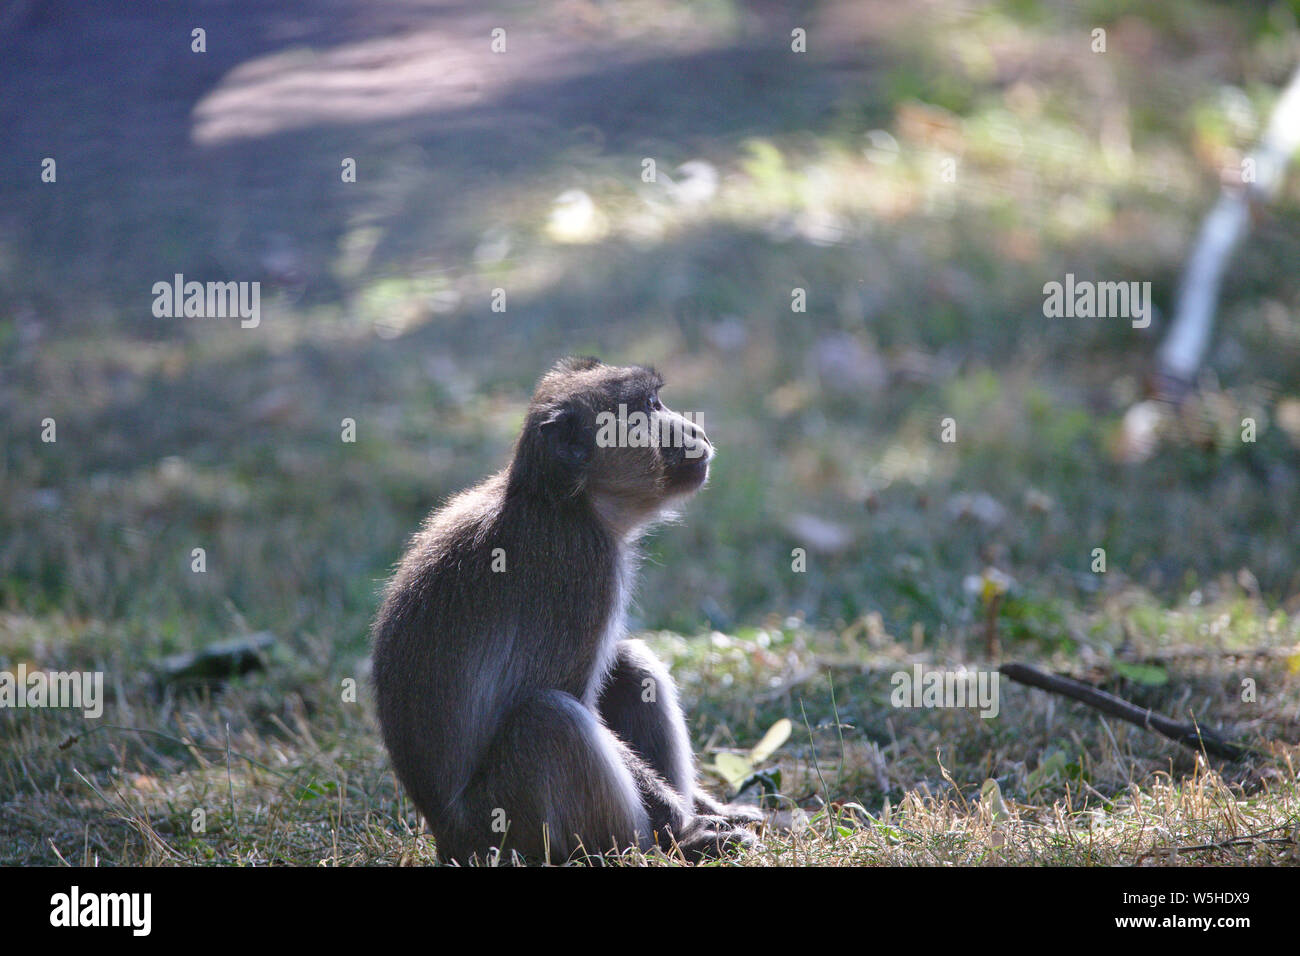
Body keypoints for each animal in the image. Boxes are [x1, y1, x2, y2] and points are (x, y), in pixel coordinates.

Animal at [371, 356, 763, 864]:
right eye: (647, 407)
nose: (694, 430)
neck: (567, 501)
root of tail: (448, 840)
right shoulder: (583, 567)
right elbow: (566, 695)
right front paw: (688, 825)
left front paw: (707, 808)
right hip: (503, 823)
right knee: (550, 720)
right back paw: (665, 843)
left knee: (628, 666)